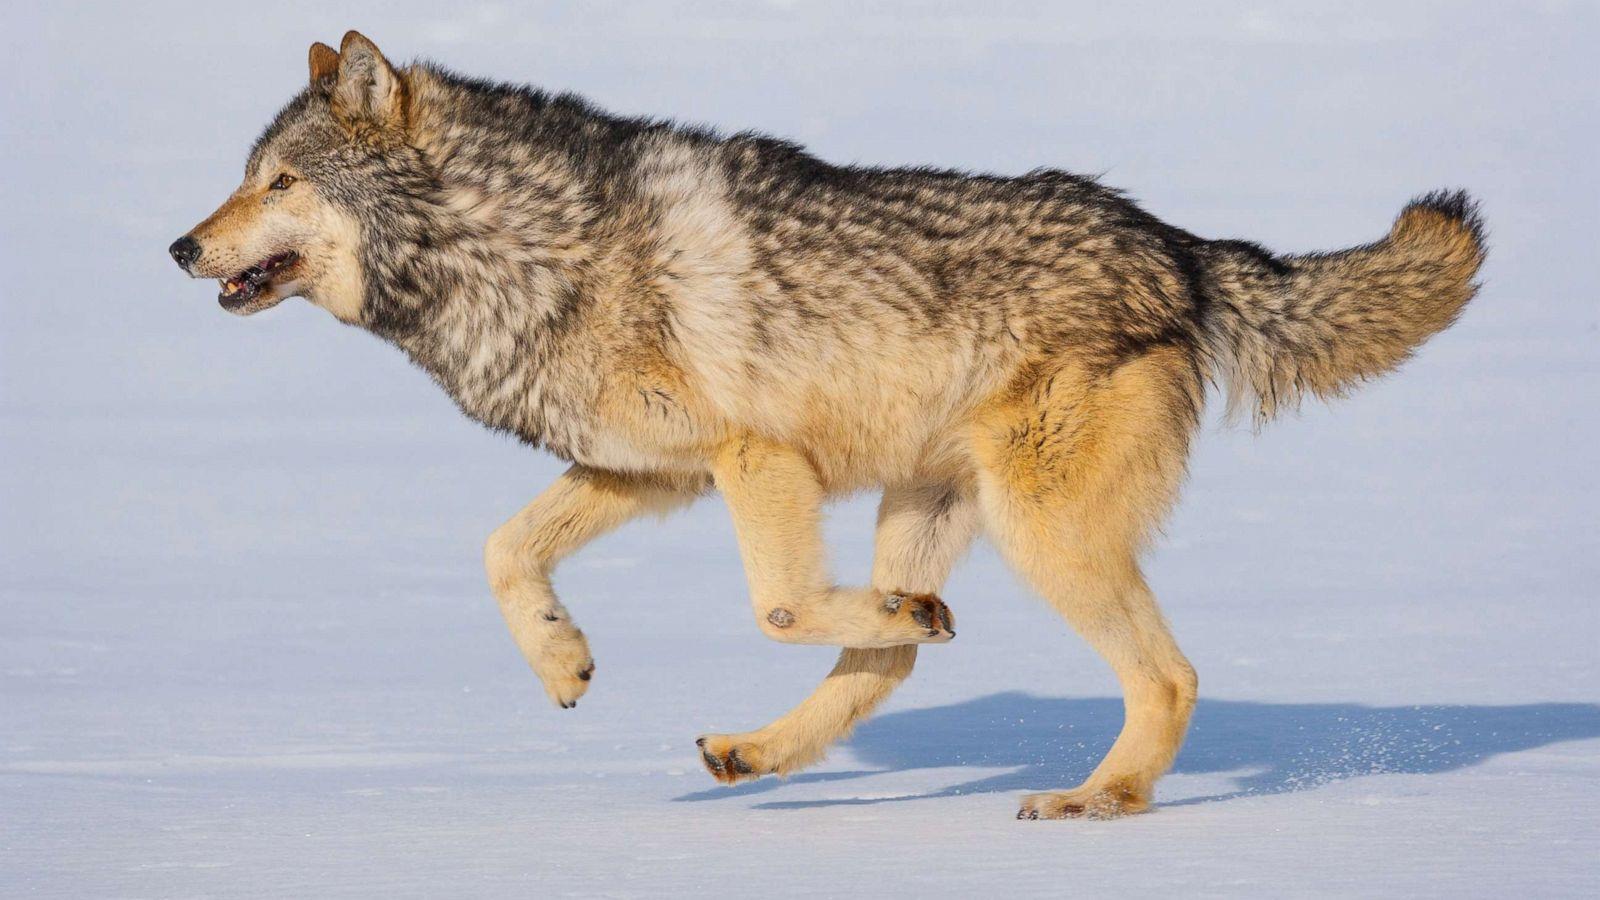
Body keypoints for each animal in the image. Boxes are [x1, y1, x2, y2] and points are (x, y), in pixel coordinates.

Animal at [170, 32, 1485, 819]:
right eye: (247, 175)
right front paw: (561, 660)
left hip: (1043, 532)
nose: (180, 246)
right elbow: (501, 552)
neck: (519, 244)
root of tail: (1174, 244)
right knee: (893, 656)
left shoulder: (754, 456)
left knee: (1166, 676)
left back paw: (1091, 801)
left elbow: (779, 605)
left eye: (280, 182)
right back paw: (766, 744)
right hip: (935, 503)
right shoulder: (643, 472)